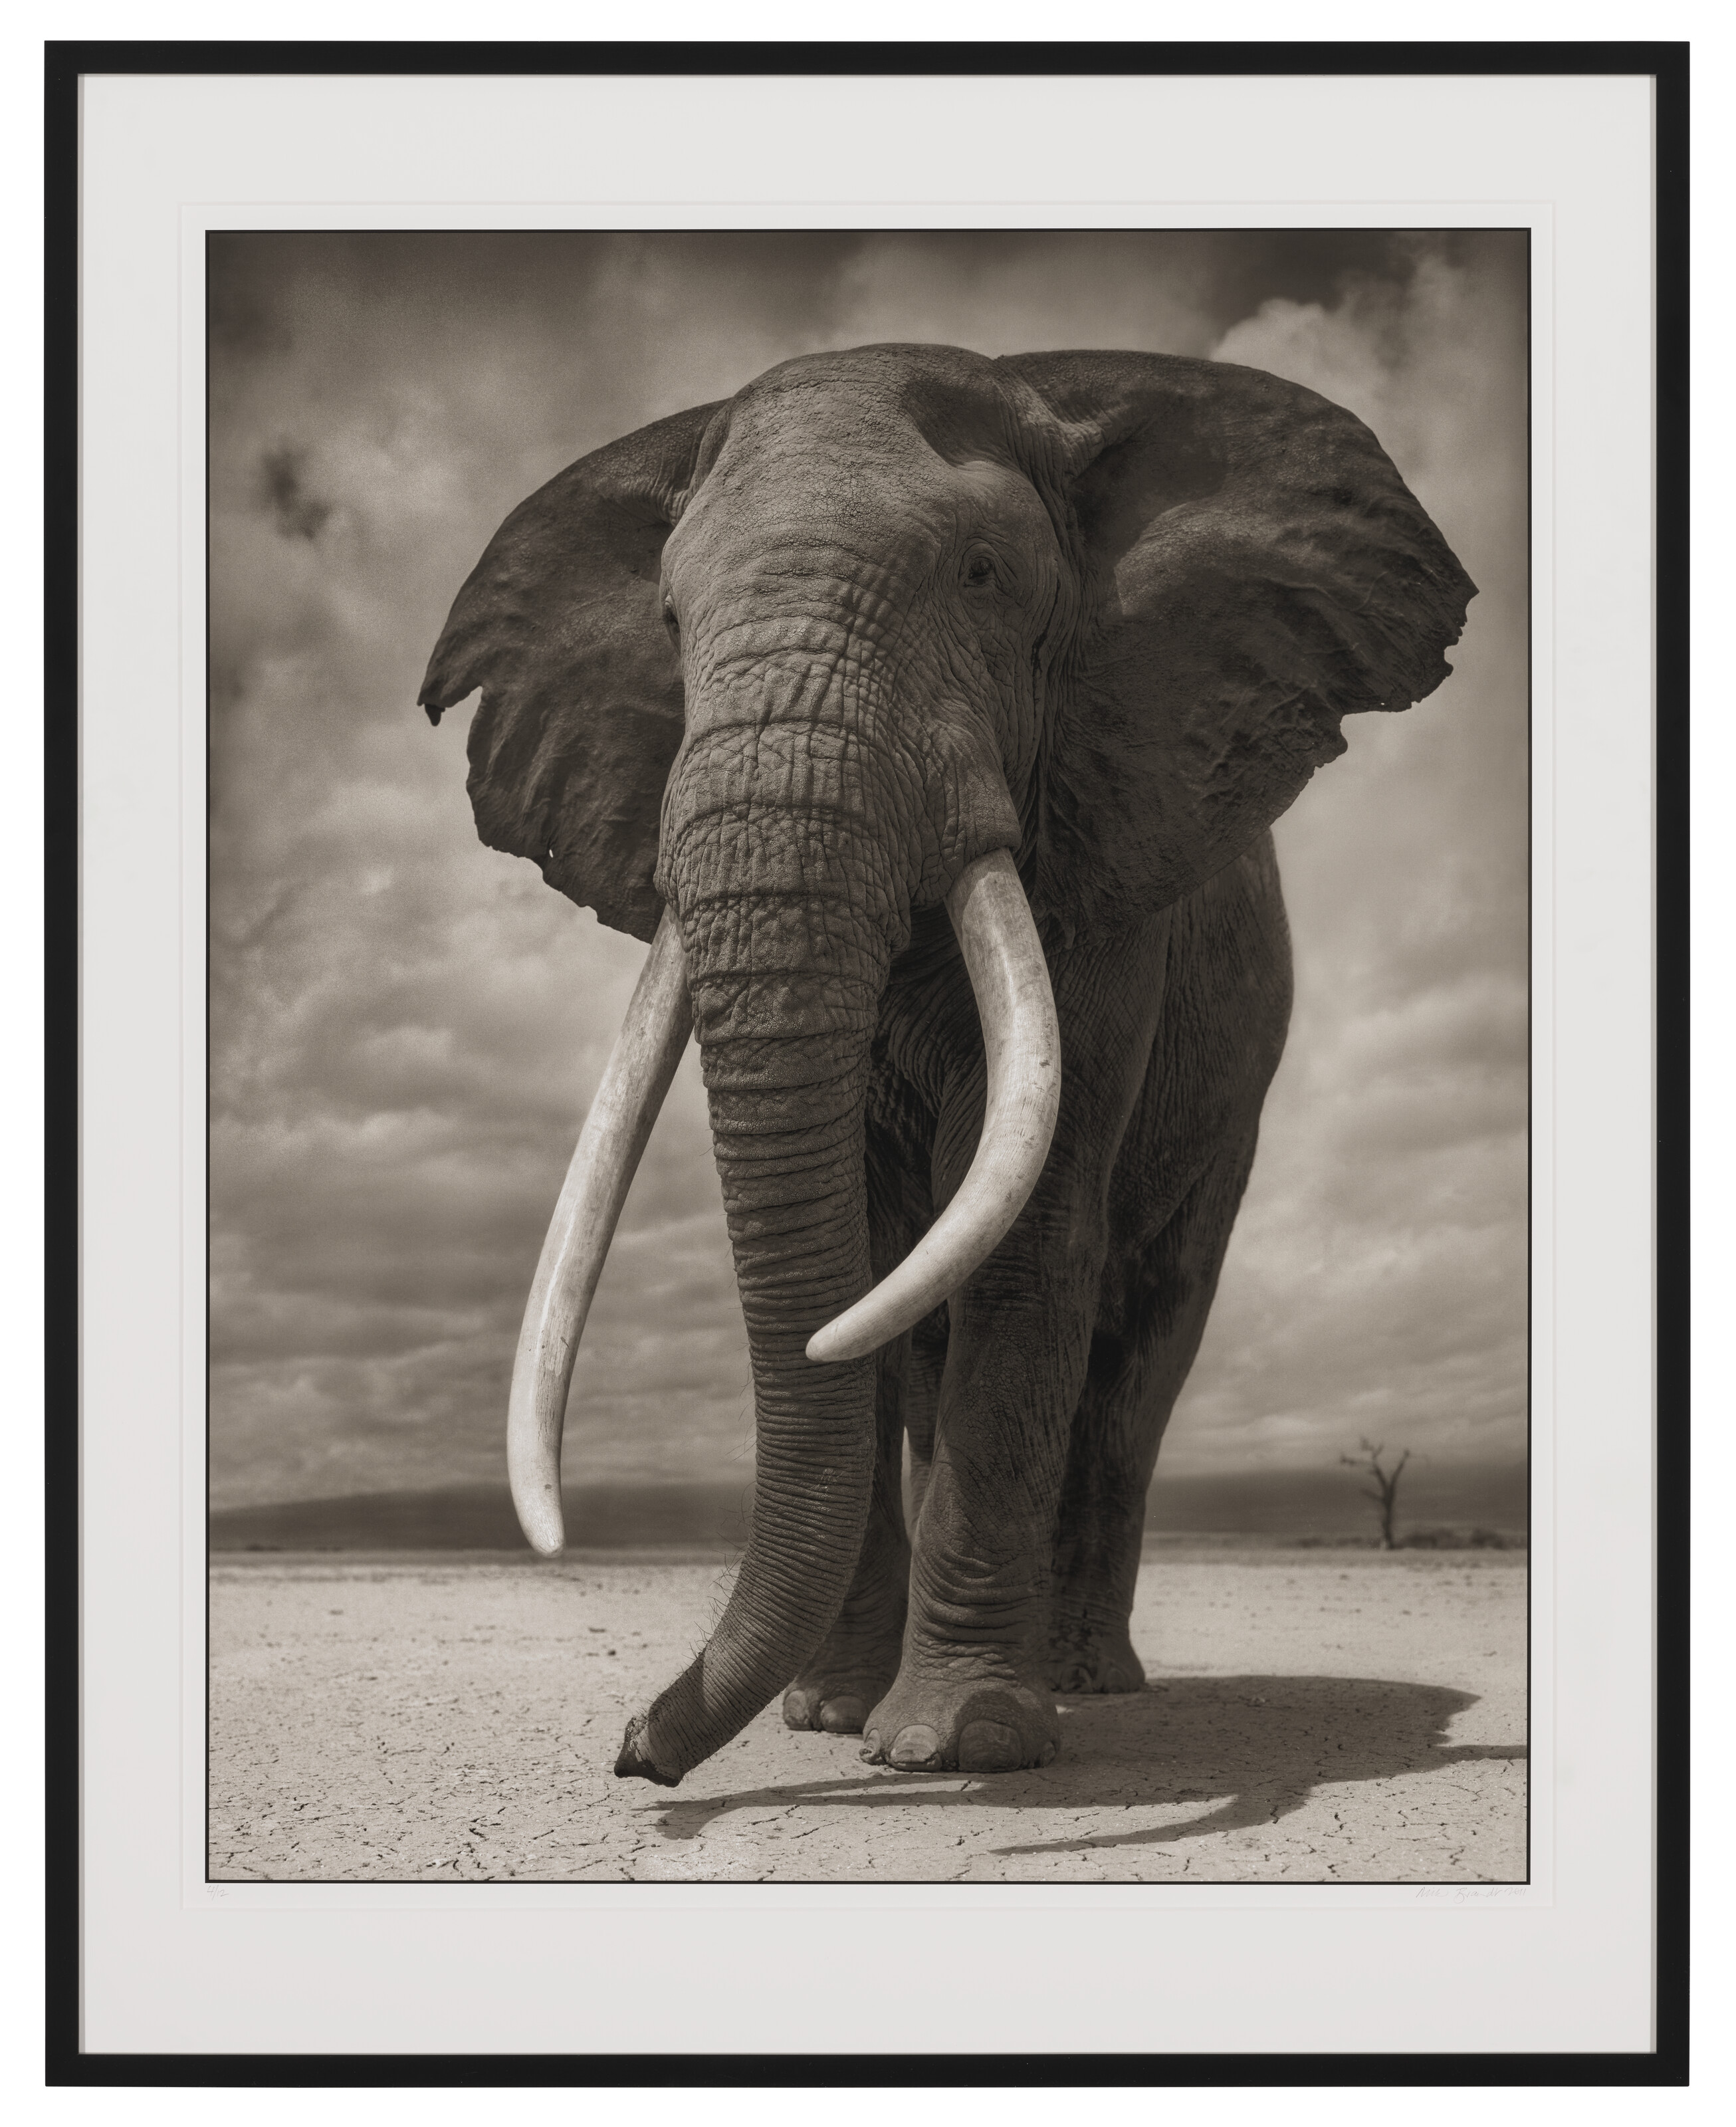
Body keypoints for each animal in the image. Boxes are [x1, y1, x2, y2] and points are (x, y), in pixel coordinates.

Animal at [420, 342, 1475, 1788]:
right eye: (672, 624)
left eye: (981, 576)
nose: (639, 1749)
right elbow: (863, 1257)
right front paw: (827, 1717)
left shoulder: (1106, 853)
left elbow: (1024, 1236)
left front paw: (953, 1744)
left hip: (1234, 1096)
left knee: (1140, 1349)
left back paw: (1088, 1678)